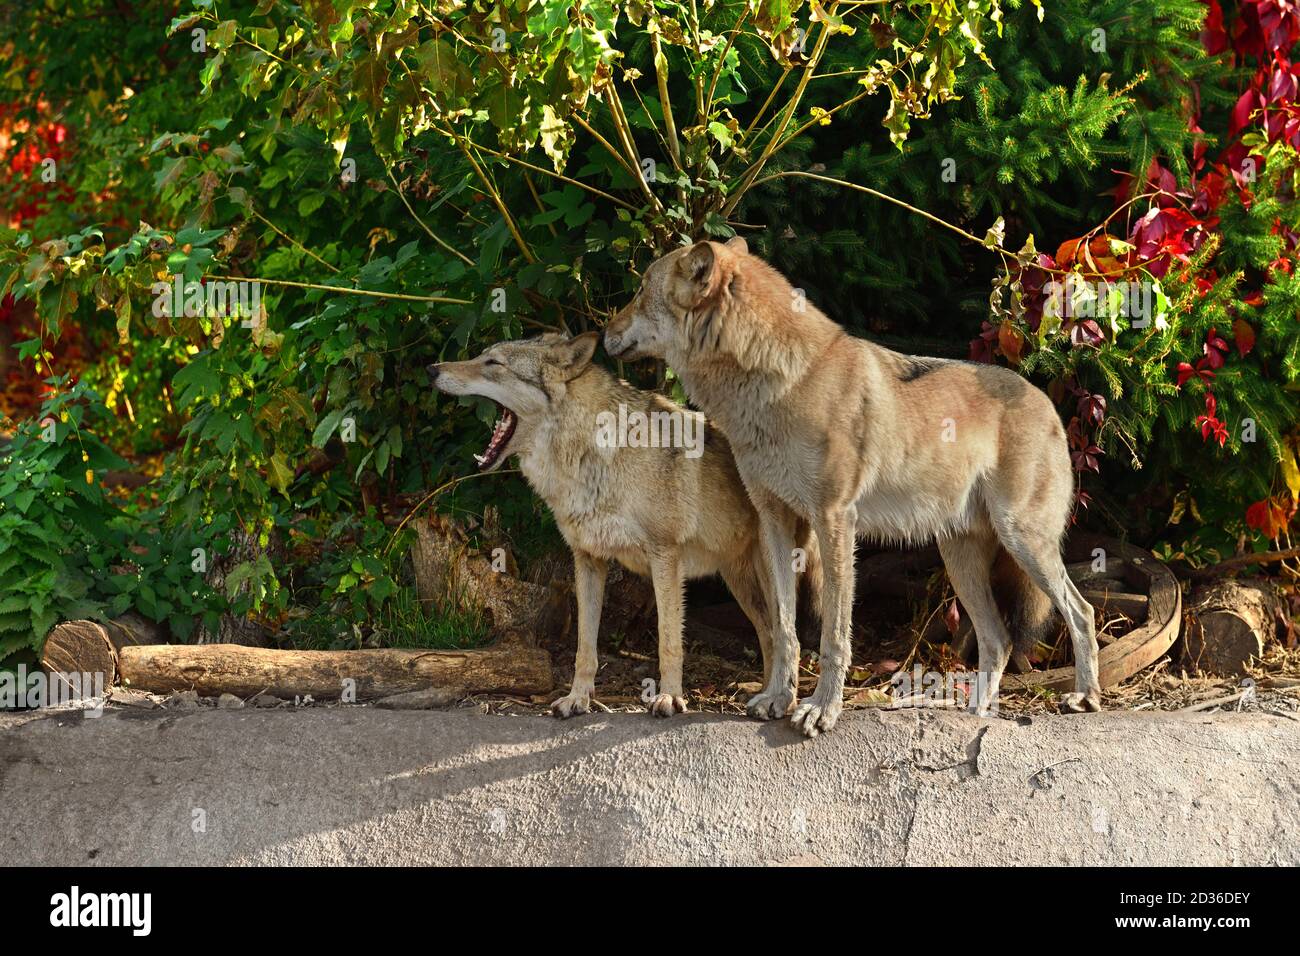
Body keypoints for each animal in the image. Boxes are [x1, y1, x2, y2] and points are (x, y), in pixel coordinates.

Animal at [428, 332, 820, 717]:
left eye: (493, 363)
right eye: (481, 355)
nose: (432, 369)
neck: (591, 454)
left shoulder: (665, 558)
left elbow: (668, 642)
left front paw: (670, 698)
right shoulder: (587, 560)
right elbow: (584, 647)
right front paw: (577, 700)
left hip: (769, 574)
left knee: (788, 637)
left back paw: (778, 700)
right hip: (738, 582)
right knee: (769, 633)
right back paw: (763, 694)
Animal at [604, 238, 1100, 736]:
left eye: (641, 290)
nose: (604, 331)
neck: (780, 383)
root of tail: (1045, 401)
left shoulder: (835, 521)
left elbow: (833, 637)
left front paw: (822, 709)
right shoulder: (774, 523)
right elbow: (784, 629)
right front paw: (778, 698)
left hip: (1022, 542)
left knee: (1081, 612)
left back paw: (1084, 698)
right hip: (961, 559)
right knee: (997, 639)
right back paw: (977, 715)